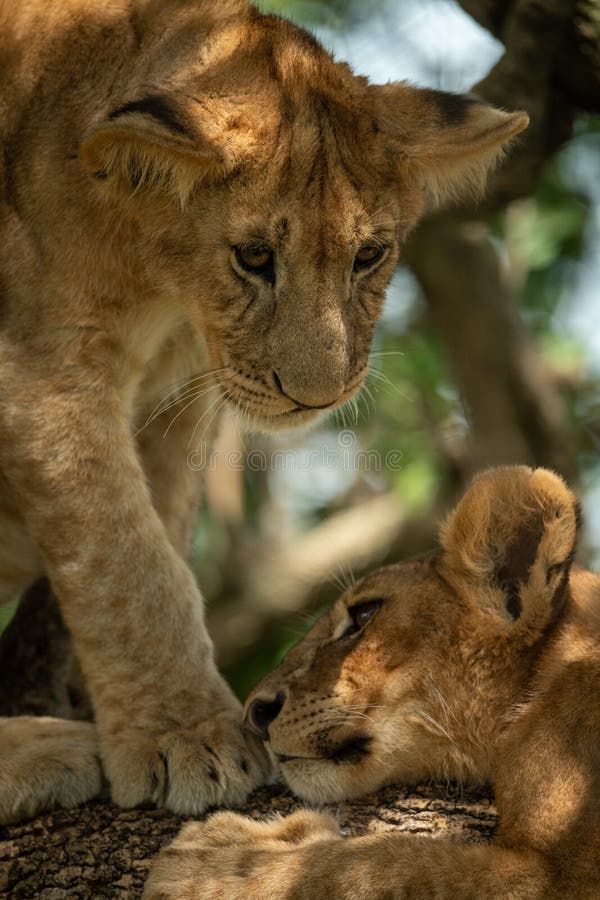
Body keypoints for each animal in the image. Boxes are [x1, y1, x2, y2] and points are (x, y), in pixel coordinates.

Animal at [0, 0, 527, 823]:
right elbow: (128, 564)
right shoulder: (39, 372)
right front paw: (185, 736)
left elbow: (160, 532)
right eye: (252, 257)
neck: (158, 284)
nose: (318, 394)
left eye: (369, 256)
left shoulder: (176, 396)